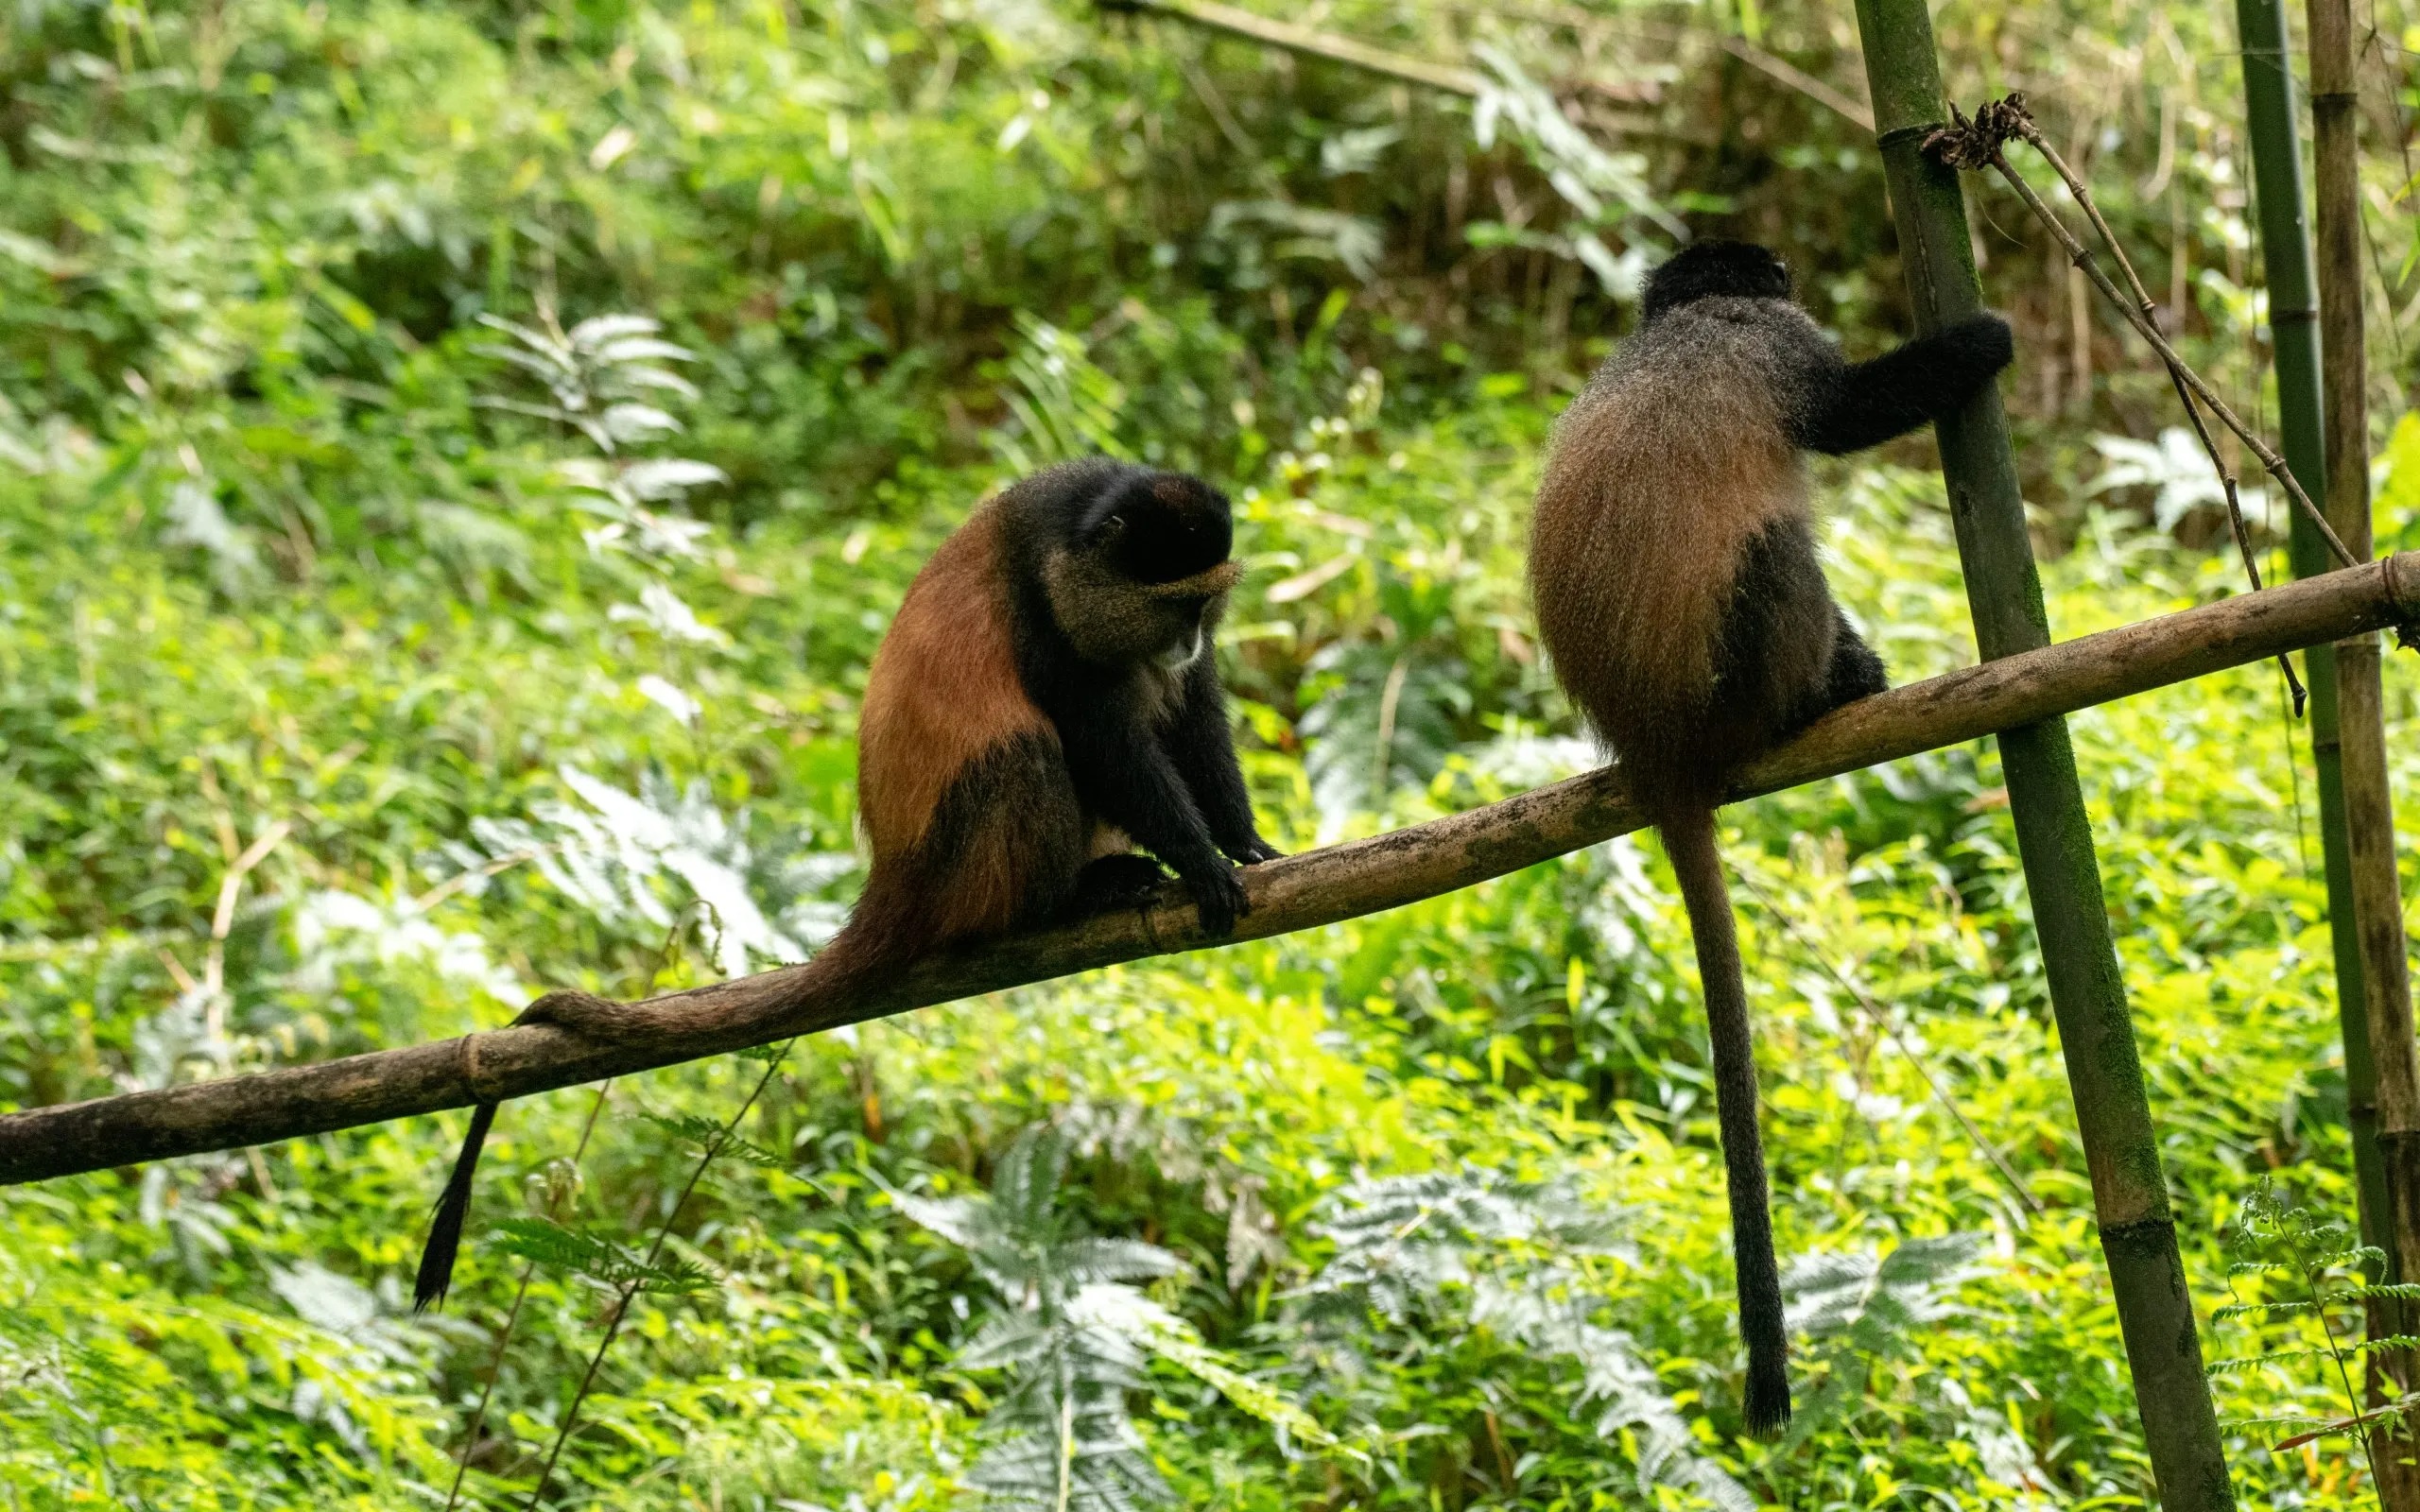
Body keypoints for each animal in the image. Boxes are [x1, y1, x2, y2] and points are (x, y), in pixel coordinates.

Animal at [414, 457, 1281, 1310]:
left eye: (1207, 604)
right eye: (1173, 604)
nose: (1189, 640)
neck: (1078, 534)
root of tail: (894, 878)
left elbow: (1194, 713)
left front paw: (1244, 844)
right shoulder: (1052, 627)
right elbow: (1103, 739)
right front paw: (1199, 861)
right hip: (967, 854)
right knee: (1023, 753)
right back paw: (1064, 903)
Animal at [1527, 239, 2012, 1435]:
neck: (1682, 319)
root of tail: (1653, 742)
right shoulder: (1774, 340)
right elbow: (1842, 415)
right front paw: (1984, 340)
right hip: (1739, 679)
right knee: (1776, 544)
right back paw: (1830, 693)